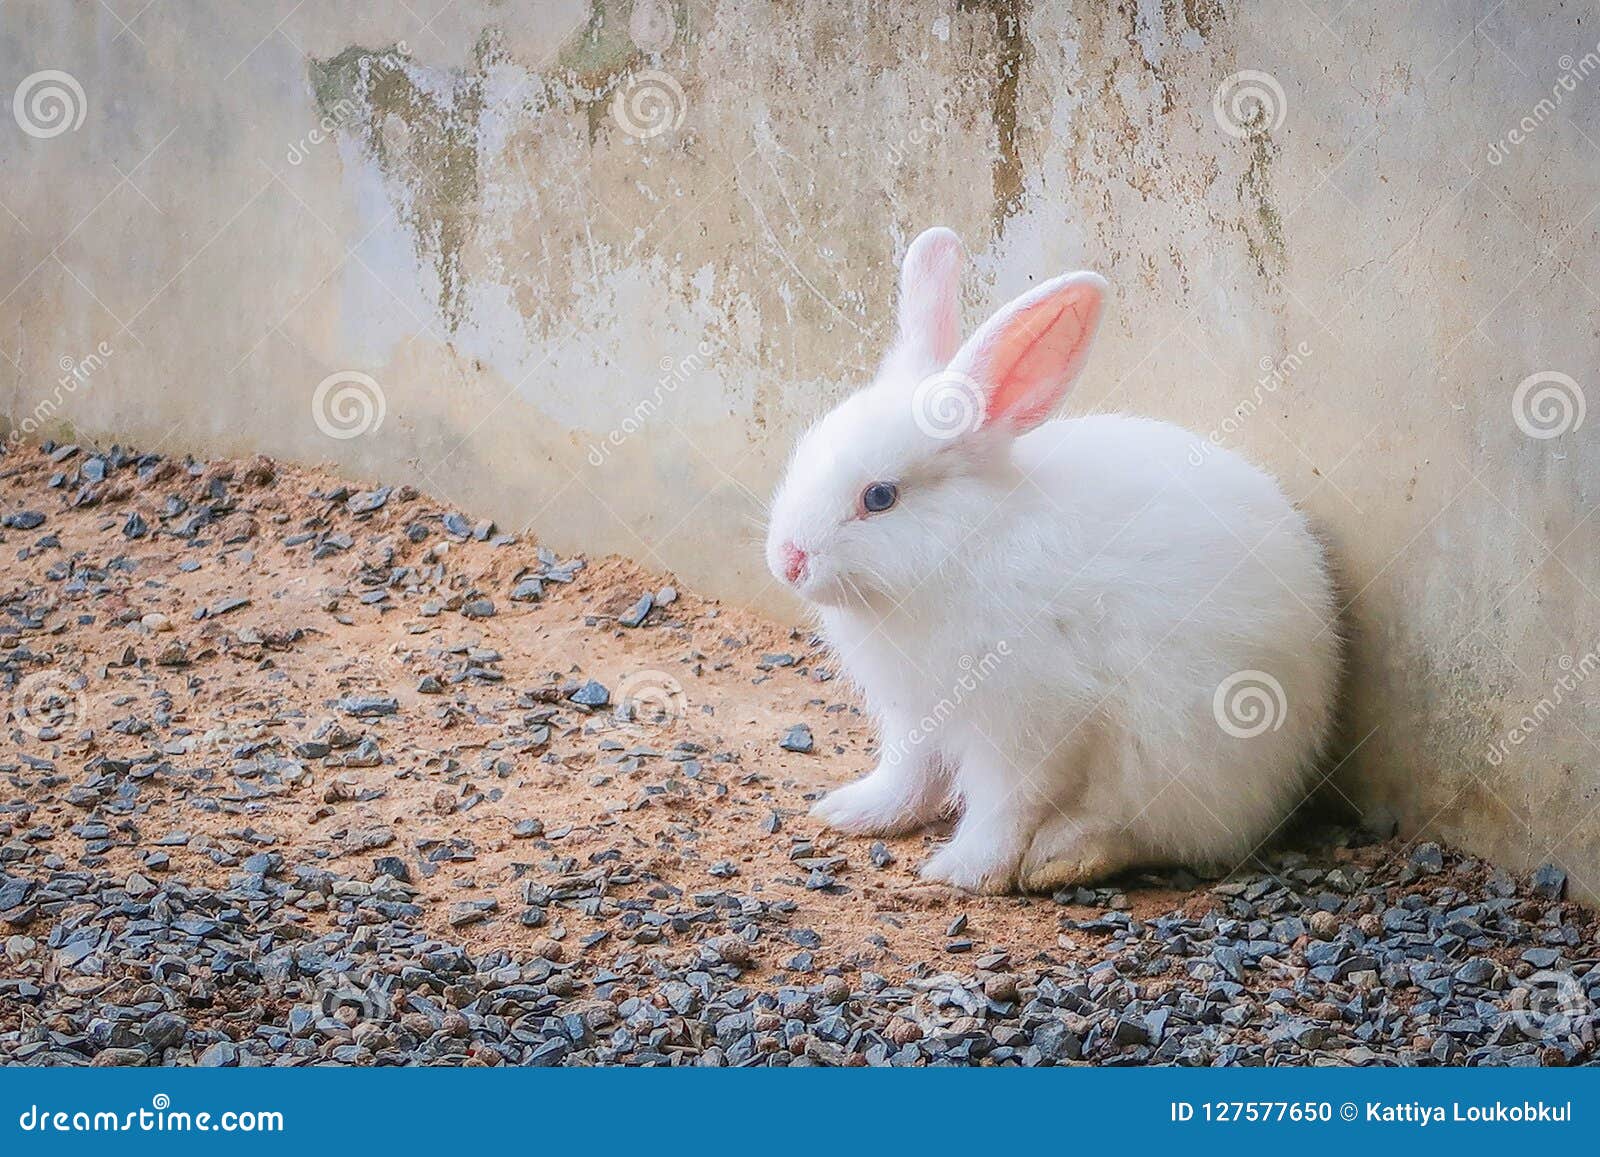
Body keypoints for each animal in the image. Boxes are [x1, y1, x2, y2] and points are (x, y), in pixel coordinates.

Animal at [764, 226, 1340, 894]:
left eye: (879, 497)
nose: (788, 561)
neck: (968, 544)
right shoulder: (915, 715)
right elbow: (909, 774)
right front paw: (853, 812)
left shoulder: (1028, 722)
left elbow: (1006, 804)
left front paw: (963, 872)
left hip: (1179, 758)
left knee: (1148, 832)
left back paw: (1063, 857)